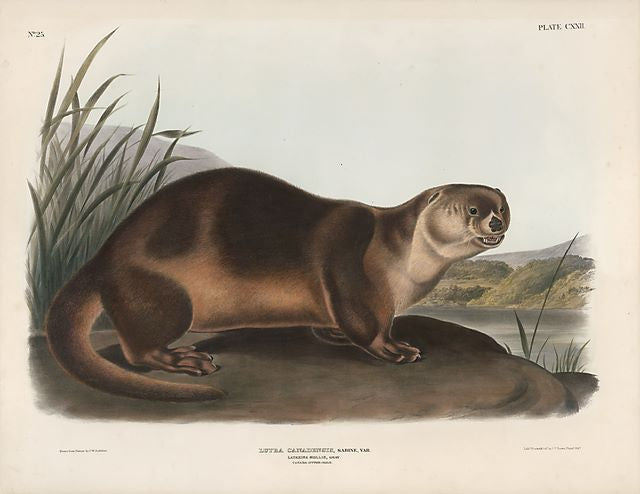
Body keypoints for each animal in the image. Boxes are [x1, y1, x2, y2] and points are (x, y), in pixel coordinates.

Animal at [44, 167, 510, 402]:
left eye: (503, 206)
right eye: (472, 209)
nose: (497, 223)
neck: (401, 260)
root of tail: (103, 257)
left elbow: (342, 320)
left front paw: (336, 335)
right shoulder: (348, 257)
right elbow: (362, 321)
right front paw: (393, 348)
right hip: (162, 294)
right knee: (136, 349)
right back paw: (184, 359)